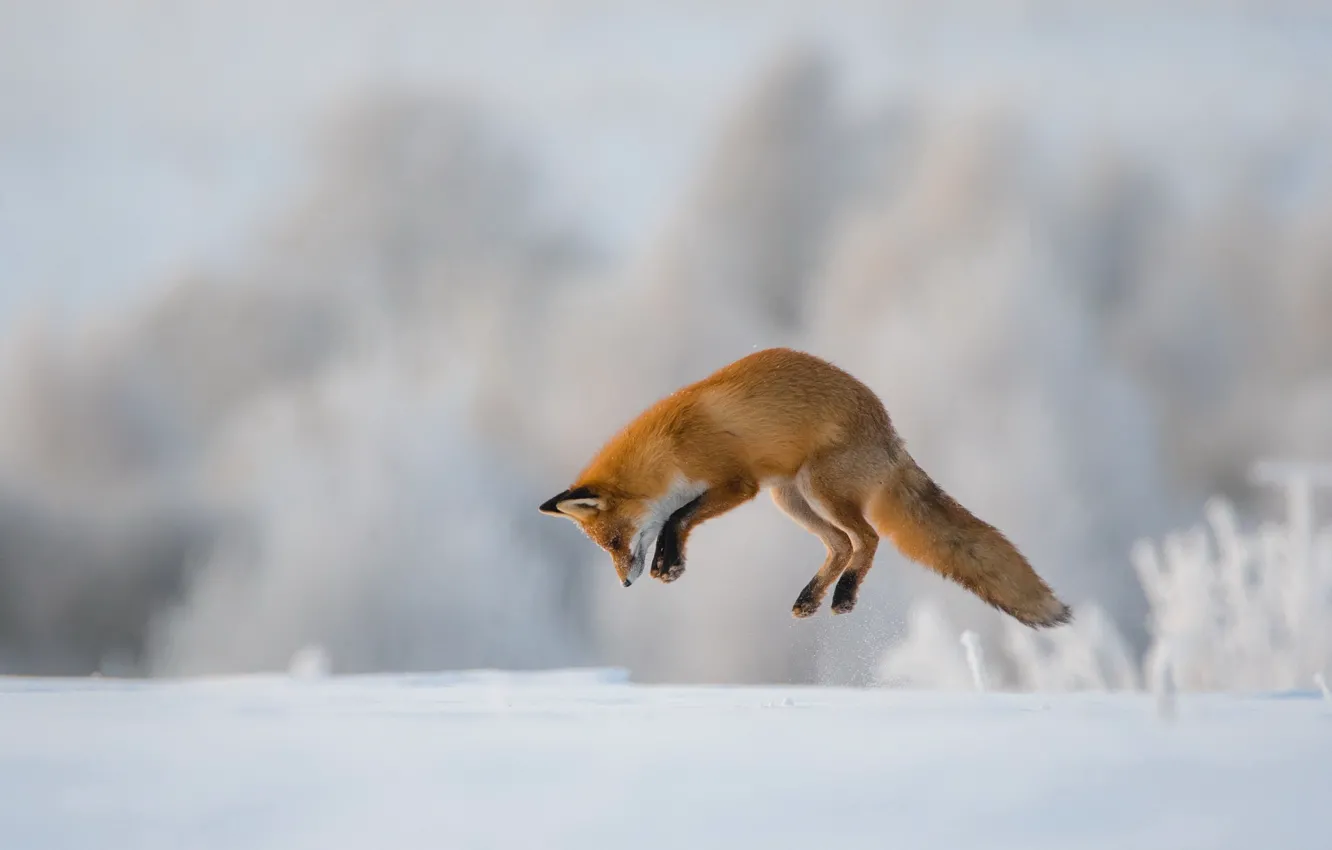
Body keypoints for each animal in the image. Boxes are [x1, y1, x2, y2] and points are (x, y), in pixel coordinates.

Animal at [539, 347, 1071, 627]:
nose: (624, 583)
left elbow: (677, 516)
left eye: (614, 541)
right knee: (841, 545)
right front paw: (671, 563)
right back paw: (811, 597)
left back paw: (845, 595)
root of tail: (891, 435)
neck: (671, 448)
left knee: (867, 539)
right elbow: (677, 518)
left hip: (817, 488)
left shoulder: (737, 484)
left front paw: (668, 563)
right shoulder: (733, 490)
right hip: (790, 499)